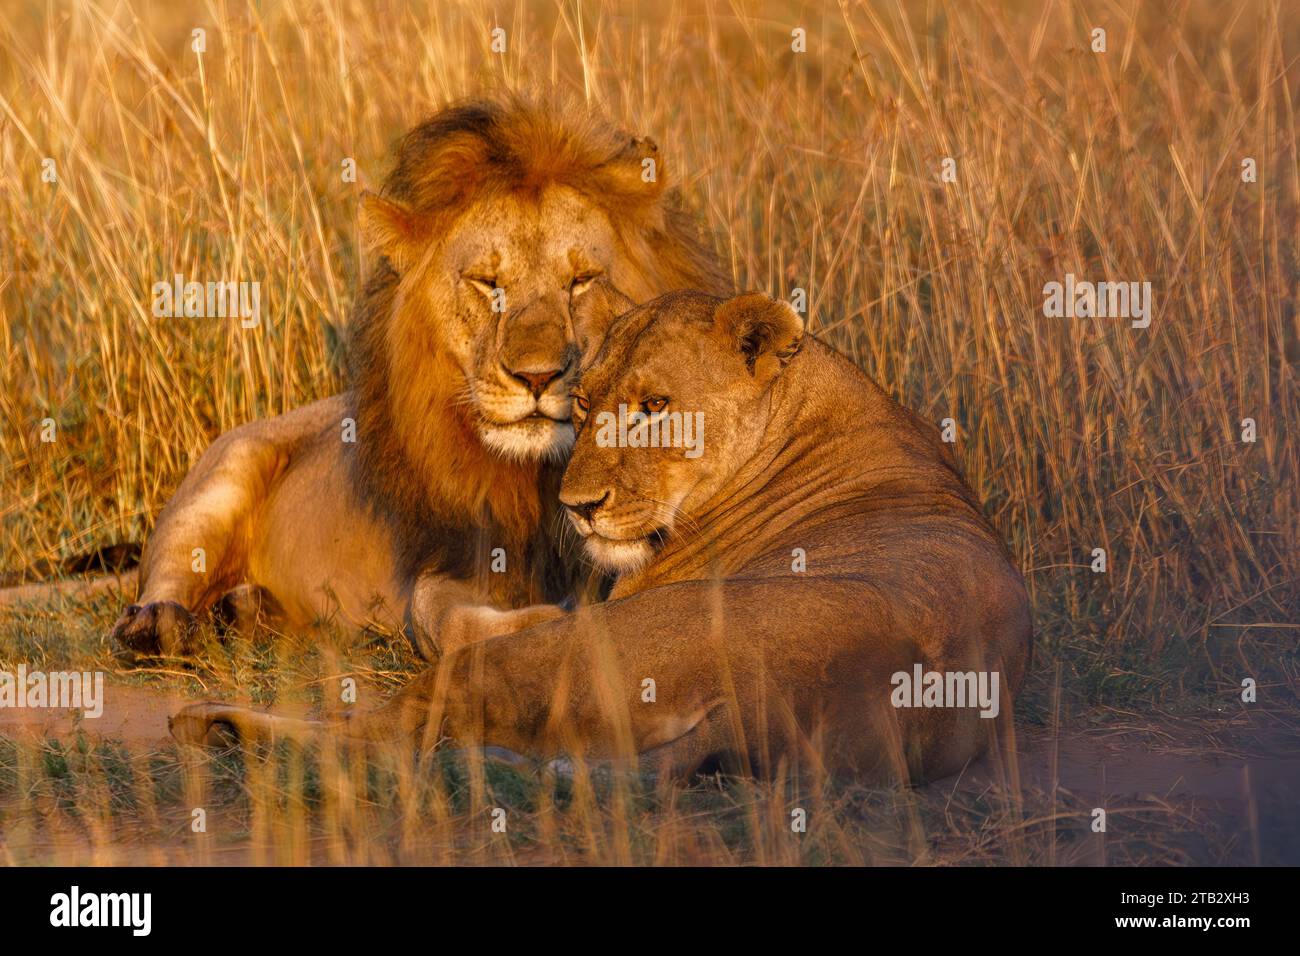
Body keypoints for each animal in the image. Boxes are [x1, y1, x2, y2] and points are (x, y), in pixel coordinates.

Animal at [110, 92, 728, 660]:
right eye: (487, 284)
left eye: (582, 280)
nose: (537, 377)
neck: (535, 476)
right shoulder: (456, 556)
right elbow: (438, 615)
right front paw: (553, 622)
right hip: (222, 476)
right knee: (167, 578)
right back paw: (161, 624)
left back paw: (243, 612)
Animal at [171, 286, 1033, 784]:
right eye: (583, 406)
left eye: (654, 408)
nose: (578, 506)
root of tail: (762, 709)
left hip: (555, 656)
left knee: (387, 737)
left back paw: (213, 725)